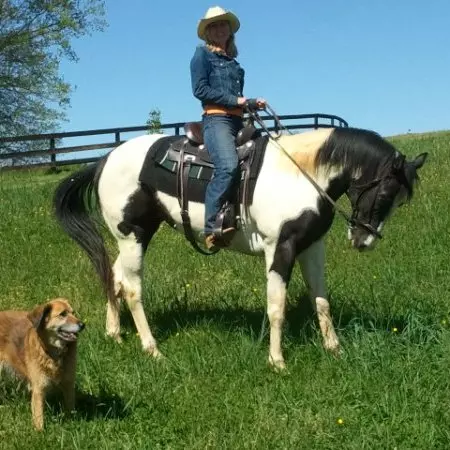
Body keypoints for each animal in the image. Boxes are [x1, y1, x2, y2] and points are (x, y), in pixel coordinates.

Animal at [0, 298, 84, 430]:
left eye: (73, 313)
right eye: (63, 314)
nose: (83, 325)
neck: (54, 354)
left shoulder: (69, 384)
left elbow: (70, 408)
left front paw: (72, 424)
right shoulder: (38, 389)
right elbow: (39, 416)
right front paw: (40, 432)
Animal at [52, 125, 426, 370]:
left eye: (400, 201)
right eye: (385, 193)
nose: (364, 240)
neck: (301, 174)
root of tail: (104, 160)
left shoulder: (312, 247)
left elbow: (321, 300)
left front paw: (334, 349)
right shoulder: (280, 248)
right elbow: (276, 306)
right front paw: (277, 361)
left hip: (134, 236)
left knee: (112, 277)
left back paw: (114, 334)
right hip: (133, 235)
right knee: (131, 288)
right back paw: (152, 348)